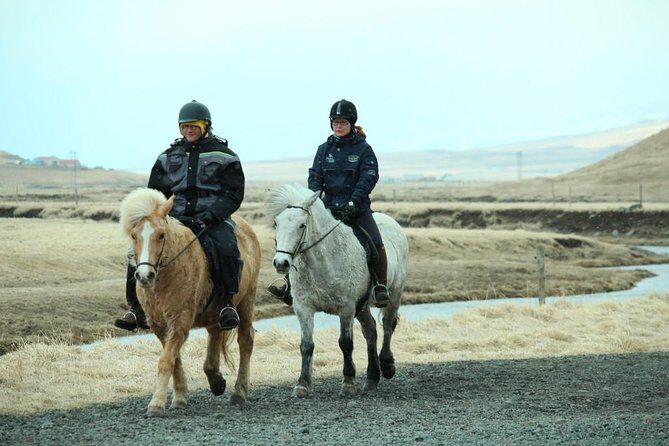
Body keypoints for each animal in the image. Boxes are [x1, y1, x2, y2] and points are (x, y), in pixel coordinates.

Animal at [119, 187, 261, 416]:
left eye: (161, 235)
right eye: (133, 235)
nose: (144, 276)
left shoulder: (180, 321)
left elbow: (166, 360)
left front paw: (156, 404)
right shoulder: (159, 326)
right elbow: (174, 360)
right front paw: (179, 398)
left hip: (247, 301)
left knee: (246, 341)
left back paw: (239, 393)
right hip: (215, 312)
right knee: (215, 334)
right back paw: (216, 380)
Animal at [267, 184, 409, 397]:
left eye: (302, 225)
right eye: (276, 223)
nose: (281, 263)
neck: (322, 261)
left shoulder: (346, 308)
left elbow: (346, 343)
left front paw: (348, 382)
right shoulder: (303, 308)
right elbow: (306, 345)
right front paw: (302, 384)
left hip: (394, 295)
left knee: (388, 325)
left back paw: (387, 365)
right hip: (362, 305)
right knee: (371, 331)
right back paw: (371, 378)